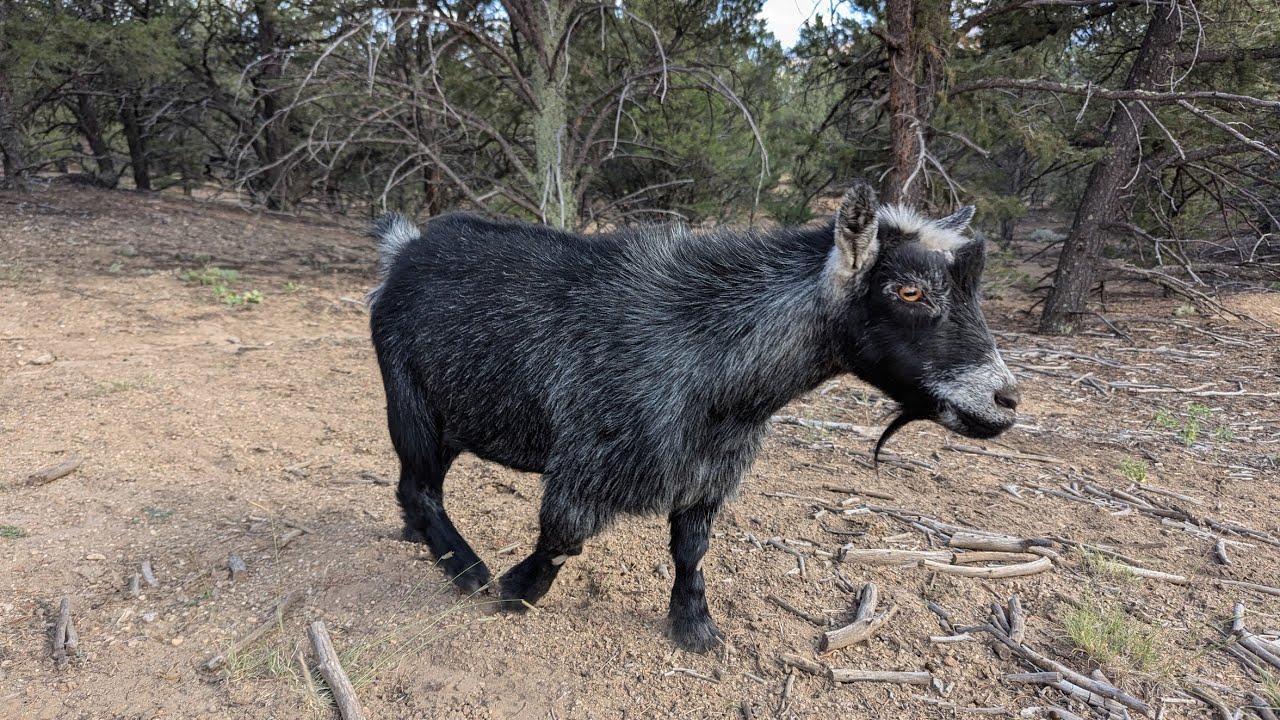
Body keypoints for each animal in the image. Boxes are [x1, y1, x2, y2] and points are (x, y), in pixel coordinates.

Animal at [367, 181, 1019, 652]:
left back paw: (428, 543)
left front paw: (696, 628)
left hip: (453, 414)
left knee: (414, 486)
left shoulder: (708, 474)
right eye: (908, 291)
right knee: (420, 486)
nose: (1005, 400)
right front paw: (514, 591)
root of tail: (405, 249)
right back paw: (467, 570)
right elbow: (563, 537)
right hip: (409, 395)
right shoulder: (590, 461)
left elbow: (691, 549)